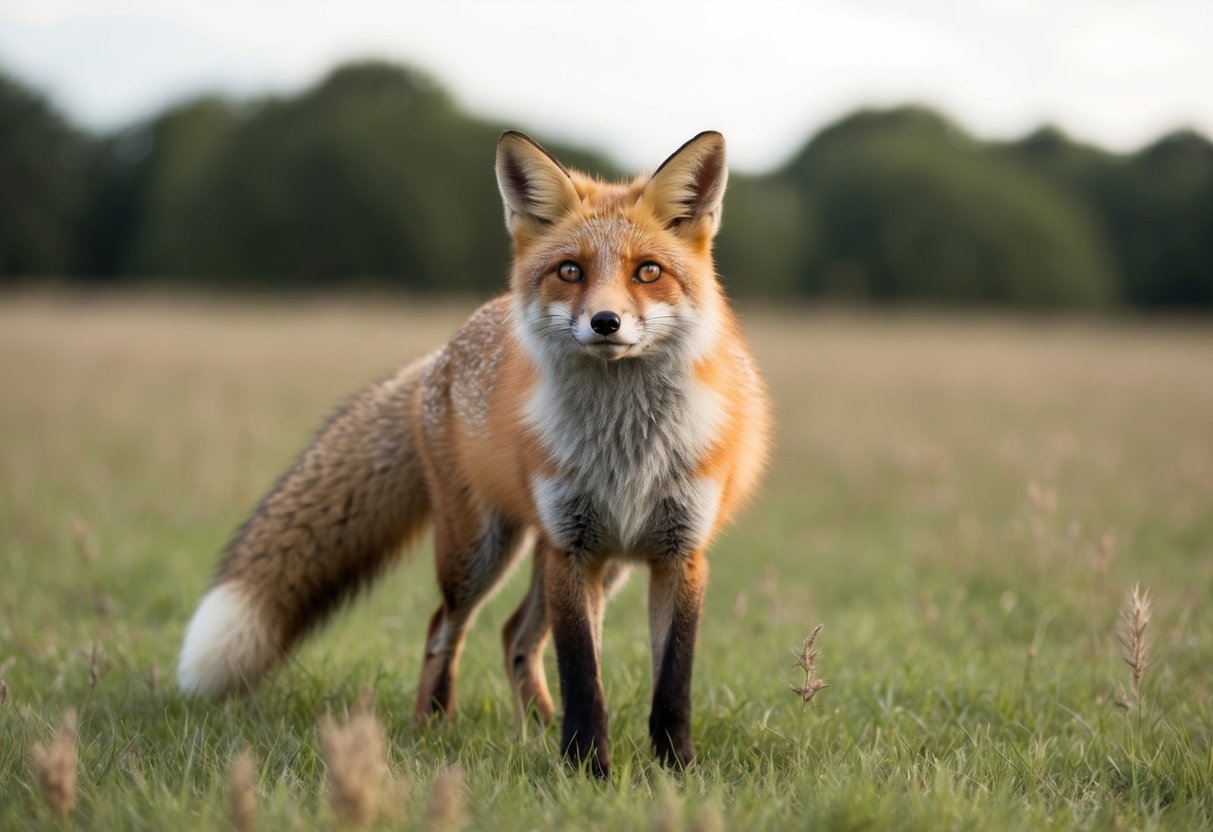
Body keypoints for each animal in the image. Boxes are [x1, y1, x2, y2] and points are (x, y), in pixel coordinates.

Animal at [177, 130, 771, 778]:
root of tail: (441, 352)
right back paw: (435, 726)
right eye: (570, 270)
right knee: (447, 627)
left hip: (593, 561)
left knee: (515, 634)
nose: (605, 322)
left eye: (648, 271)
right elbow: (583, 676)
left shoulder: (678, 554)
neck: (626, 448)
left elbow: (673, 682)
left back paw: (536, 726)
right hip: (480, 551)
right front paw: (588, 770)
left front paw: (675, 770)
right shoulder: (572, 549)